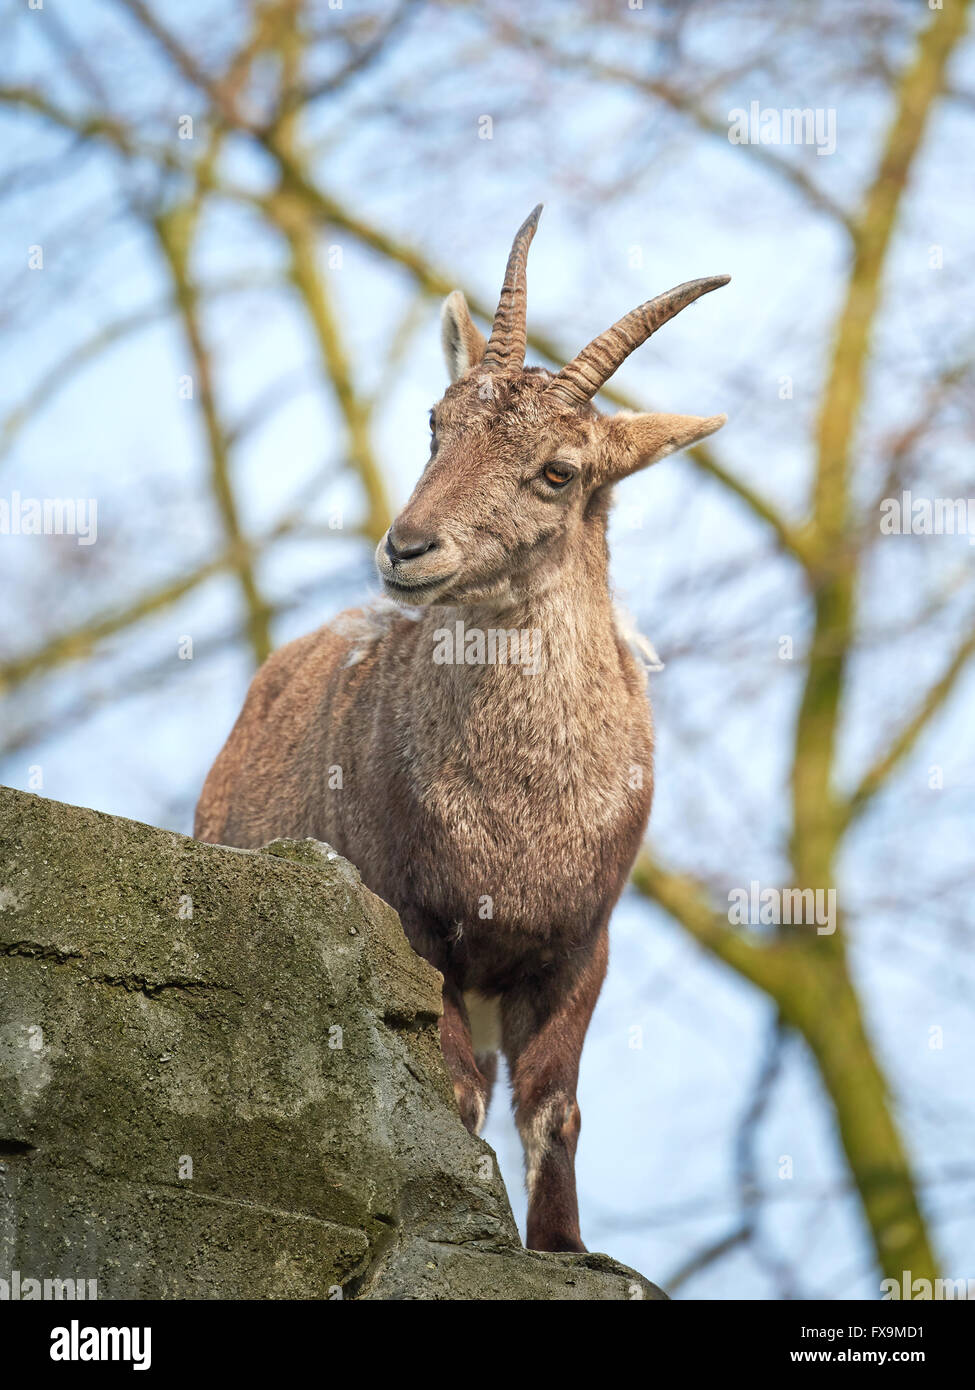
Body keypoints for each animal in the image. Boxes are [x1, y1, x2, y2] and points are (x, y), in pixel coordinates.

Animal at [195, 206, 728, 1252]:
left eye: (557, 472)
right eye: (435, 426)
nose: (406, 548)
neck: (517, 819)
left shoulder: (578, 946)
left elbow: (552, 1109)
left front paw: (561, 1248)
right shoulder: (418, 929)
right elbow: (453, 1097)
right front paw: (464, 1226)